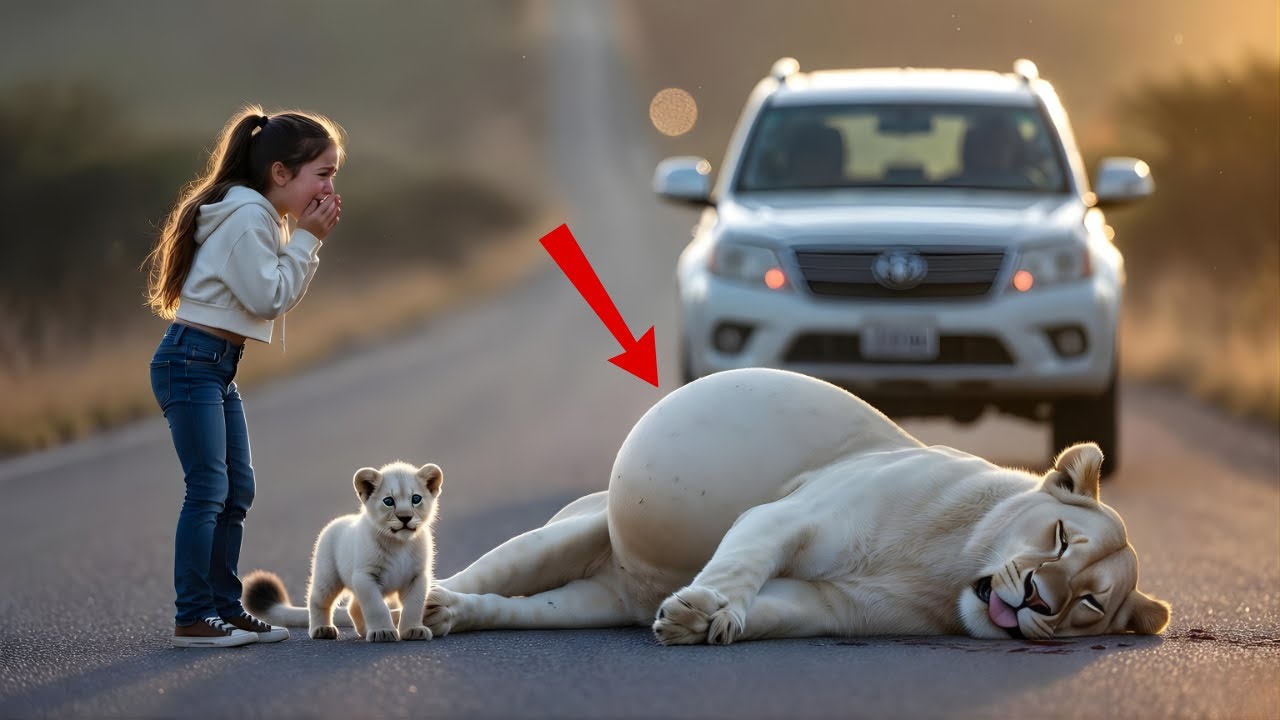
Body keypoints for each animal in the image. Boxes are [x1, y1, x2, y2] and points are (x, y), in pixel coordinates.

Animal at [425, 368, 1169, 644]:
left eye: (1088, 604)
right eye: (1059, 538)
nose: (1041, 598)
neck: (945, 570)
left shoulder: (832, 606)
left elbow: (769, 609)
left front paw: (709, 624)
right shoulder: (790, 515)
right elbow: (743, 561)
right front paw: (700, 607)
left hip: (590, 605)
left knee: (516, 609)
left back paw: (458, 615)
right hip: (567, 535)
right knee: (488, 571)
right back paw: (425, 607)